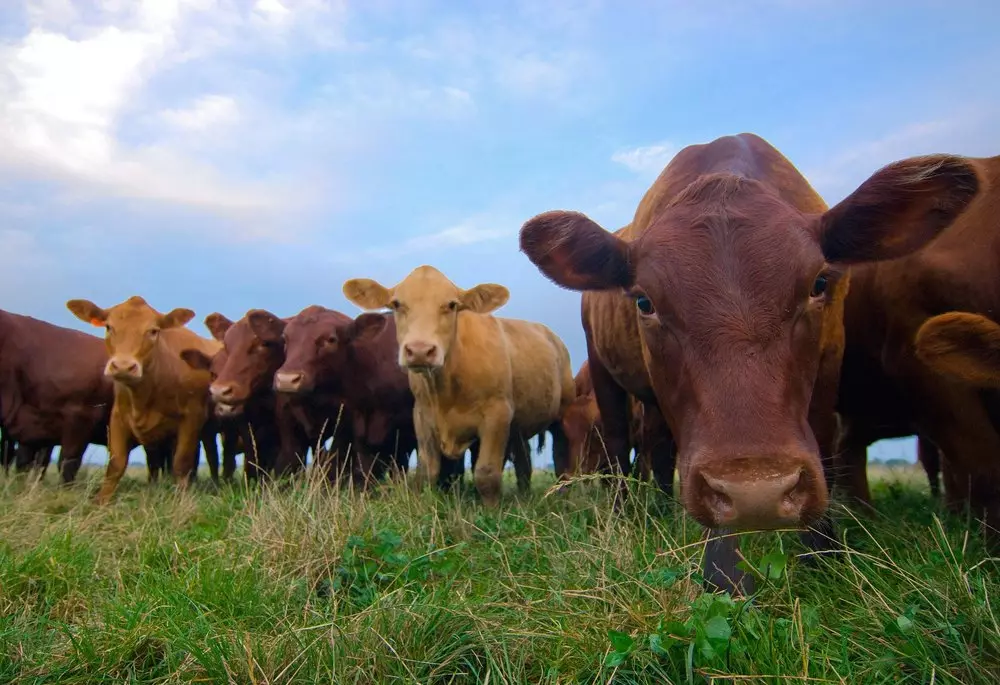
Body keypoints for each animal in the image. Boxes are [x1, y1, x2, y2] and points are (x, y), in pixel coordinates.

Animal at [66, 294, 223, 502]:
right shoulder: (118, 417)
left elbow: (181, 463)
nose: (123, 366)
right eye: (108, 327)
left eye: (153, 331)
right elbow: (116, 464)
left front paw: (181, 500)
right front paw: (101, 501)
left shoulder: (192, 417)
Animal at [346, 264, 576, 504]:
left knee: (561, 455)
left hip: (563, 410)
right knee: (524, 463)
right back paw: (524, 497)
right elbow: (427, 472)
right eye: (397, 304)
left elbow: (486, 473)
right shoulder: (422, 415)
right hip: (520, 427)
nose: (420, 350)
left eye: (451, 305)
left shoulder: (497, 414)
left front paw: (491, 509)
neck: (446, 389)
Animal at [520, 134, 980, 592]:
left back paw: (664, 509)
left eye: (819, 283)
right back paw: (627, 515)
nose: (757, 493)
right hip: (604, 372)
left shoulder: (830, 360)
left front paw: (822, 552)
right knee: (620, 447)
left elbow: (823, 443)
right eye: (644, 301)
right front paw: (724, 573)